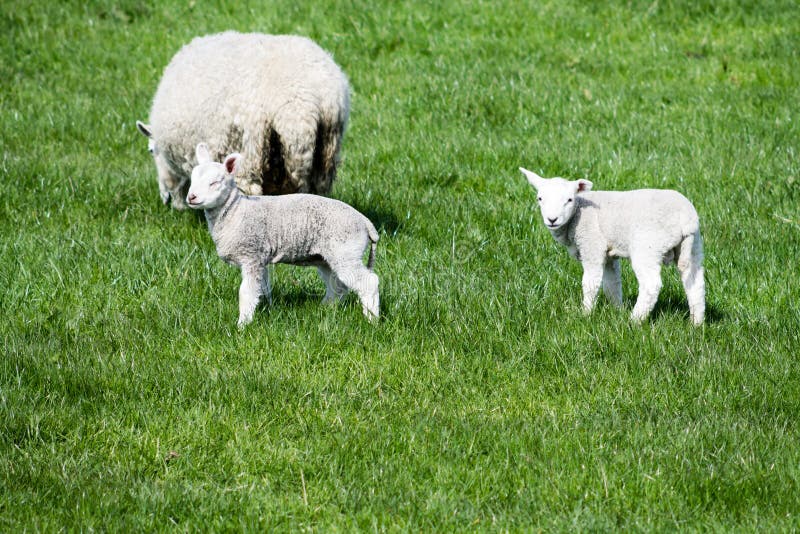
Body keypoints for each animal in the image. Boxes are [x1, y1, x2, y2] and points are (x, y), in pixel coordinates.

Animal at [188, 143, 379, 328]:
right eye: (192, 180)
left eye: (214, 183)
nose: (191, 197)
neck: (235, 211)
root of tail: (366, 223)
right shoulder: (260, 258)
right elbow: (262, 289)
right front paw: (265, 309)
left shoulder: (251, 256)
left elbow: (246, 292)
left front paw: (243, 324)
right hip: (327, 257)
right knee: (338, 286)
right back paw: (325, 309)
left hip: (346, 251)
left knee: (369, 282)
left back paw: (372, 320)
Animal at [520, 168, 705, 325]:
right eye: (540, 198)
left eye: (569, 199)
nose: (552, 219)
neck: (579, 211)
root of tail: (686, 219)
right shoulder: (609, 254)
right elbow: (612, 284)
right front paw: (617, 310)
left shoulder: (592, 245)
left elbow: (591, 283)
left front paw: (585, 314)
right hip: (694, 246)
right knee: (695, 282)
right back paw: (696, 323)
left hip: (647, 246)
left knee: (651, 285)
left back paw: (634, 321)